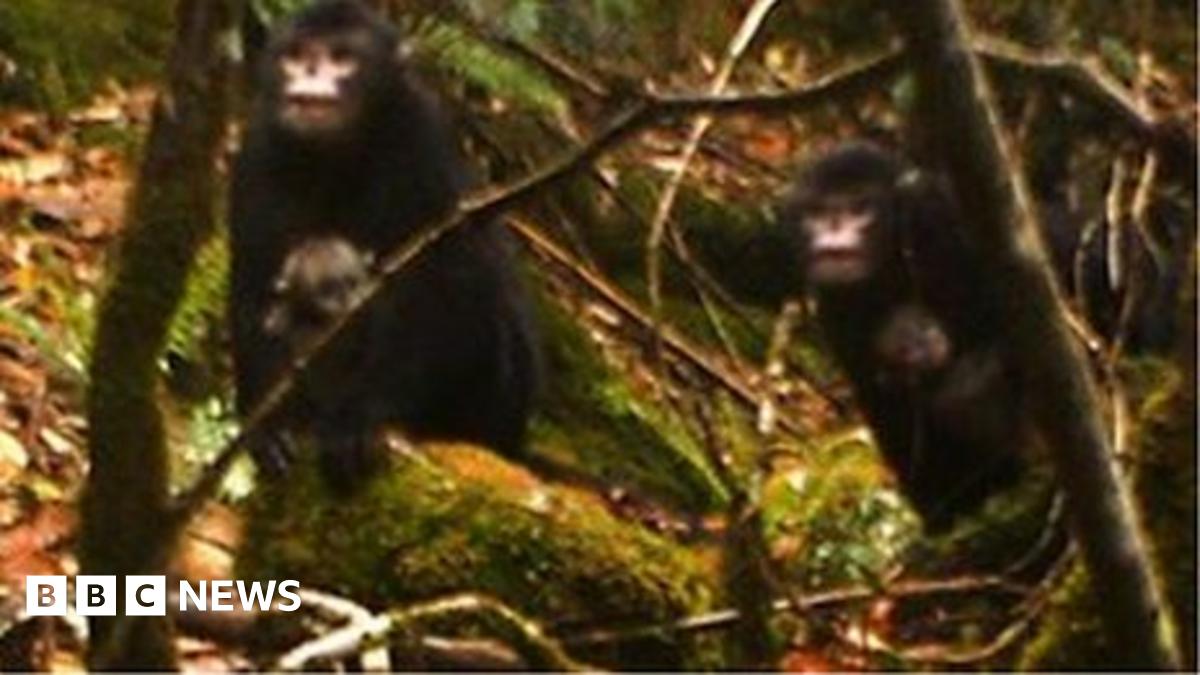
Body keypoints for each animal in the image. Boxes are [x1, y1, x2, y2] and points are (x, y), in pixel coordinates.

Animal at [229, 0, 539, 489]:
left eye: (342, 58)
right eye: (295, 56)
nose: (310, 76)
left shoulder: (419, 144)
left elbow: (440, 283)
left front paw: (359, 419)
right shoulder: (258, 152)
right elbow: (256, 285)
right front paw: (268, 425)